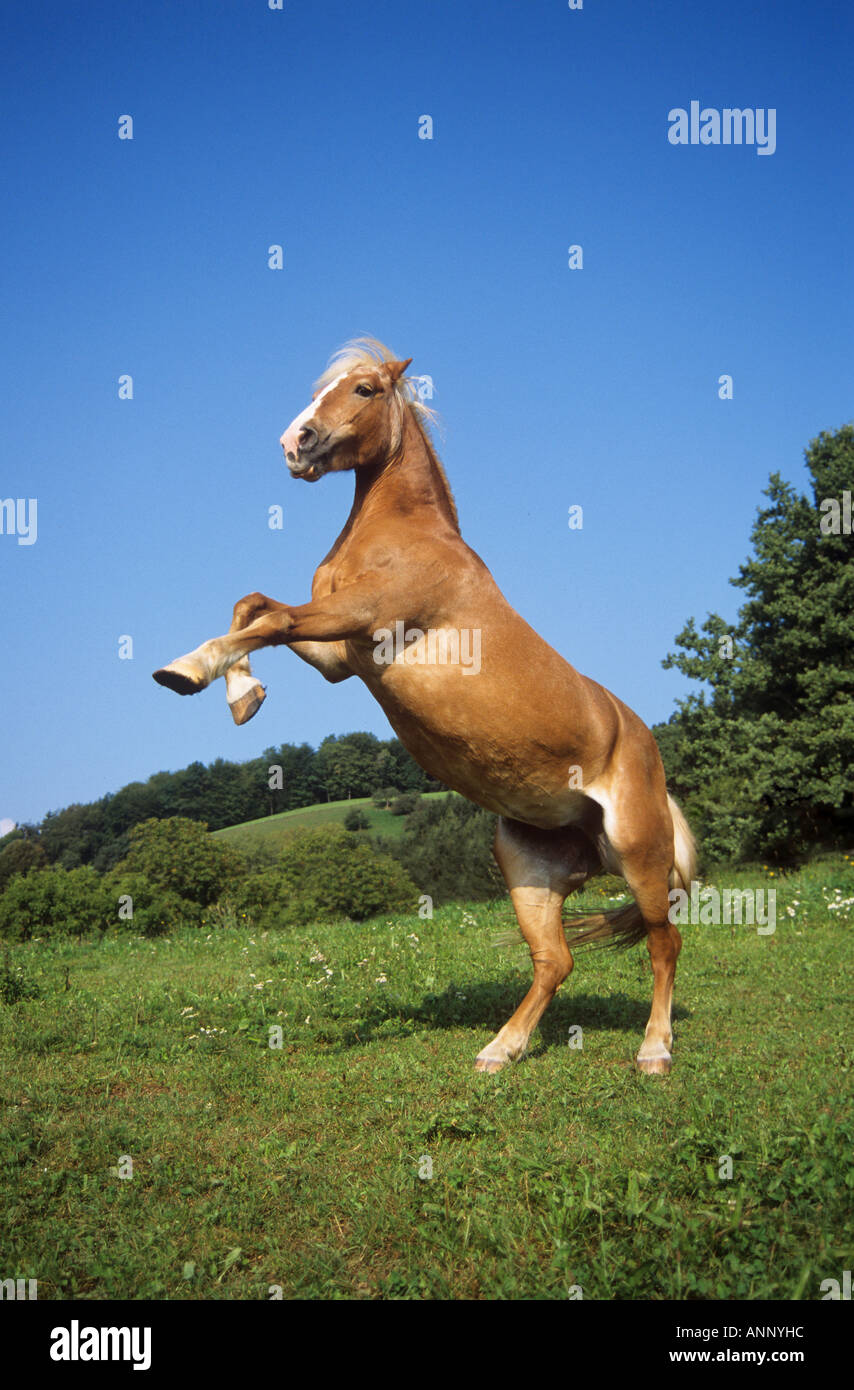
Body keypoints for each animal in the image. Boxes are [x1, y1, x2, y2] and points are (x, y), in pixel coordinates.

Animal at [153, 338, 696, 1075]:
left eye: (364, 389)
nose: (295, 444)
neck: (404, 536)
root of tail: (646, 752)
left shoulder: (361, 618)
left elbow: (269, 620)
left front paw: (185, 672)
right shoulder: (339, 656)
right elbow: (254, 606)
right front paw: (242, 696)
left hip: (639, 856)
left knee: (664, 944)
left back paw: (653, 1051)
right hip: (528, 865)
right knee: (554, 962)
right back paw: (500, 1050)